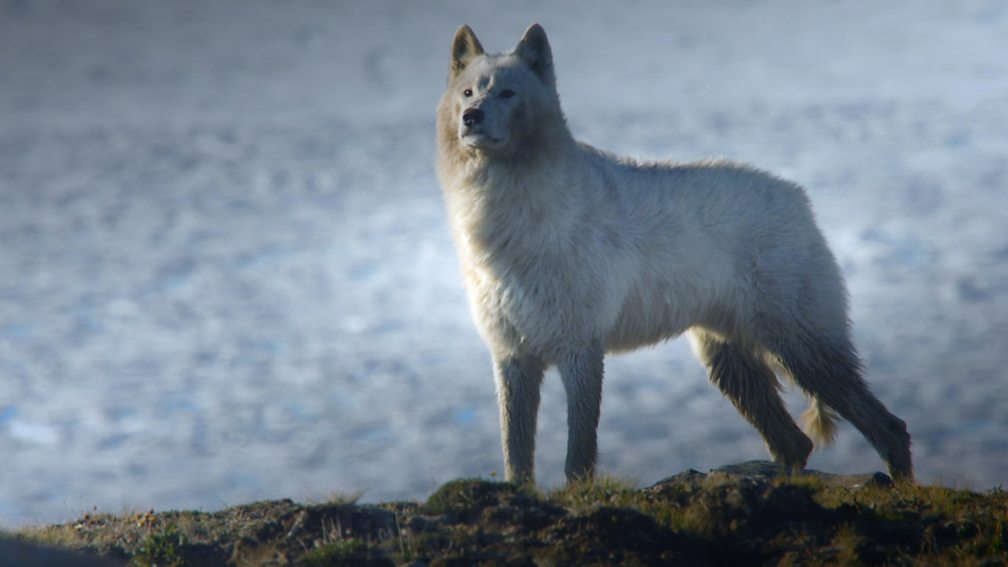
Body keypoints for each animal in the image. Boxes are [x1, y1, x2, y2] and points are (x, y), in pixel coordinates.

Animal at [435, 23, 913, 484]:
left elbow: (578, 456)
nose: (471, 117)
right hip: (729, 363)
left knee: (889, 426)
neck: (507, 214)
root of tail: (798, 198)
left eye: (507, 93)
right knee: (795, 443)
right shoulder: (512, 357)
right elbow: (516, 456)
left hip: (799, 348)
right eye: (469, 92)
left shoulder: (581, 350)